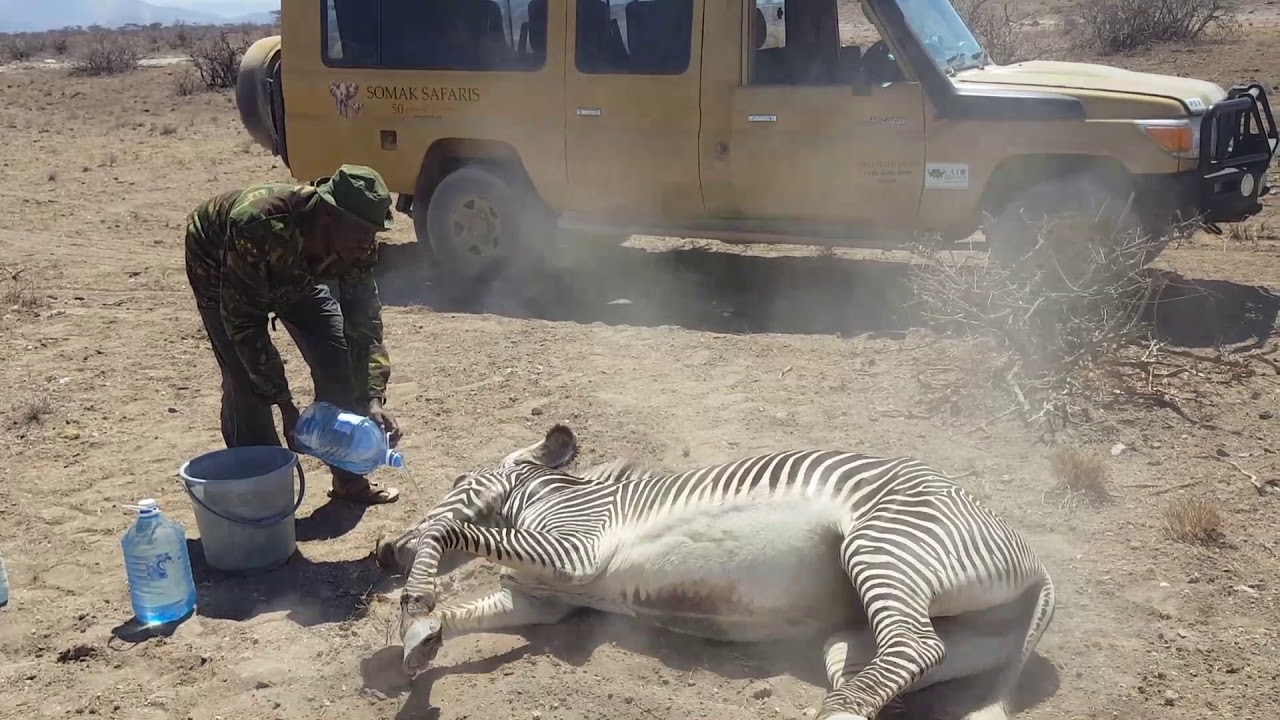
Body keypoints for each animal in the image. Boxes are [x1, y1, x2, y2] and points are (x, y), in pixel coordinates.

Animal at [377, 424, 1056, 720]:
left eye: (460, 479)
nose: (384, 553)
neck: (538, 500)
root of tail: (1035, 558)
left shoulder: (578, 549)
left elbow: (450, 531)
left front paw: (415, 605)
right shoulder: (547, 598)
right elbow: (475, 611)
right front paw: (425, 636)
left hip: (883, 547)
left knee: (915, 645)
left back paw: (838, 712)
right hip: (875, 635)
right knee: (905, 662)